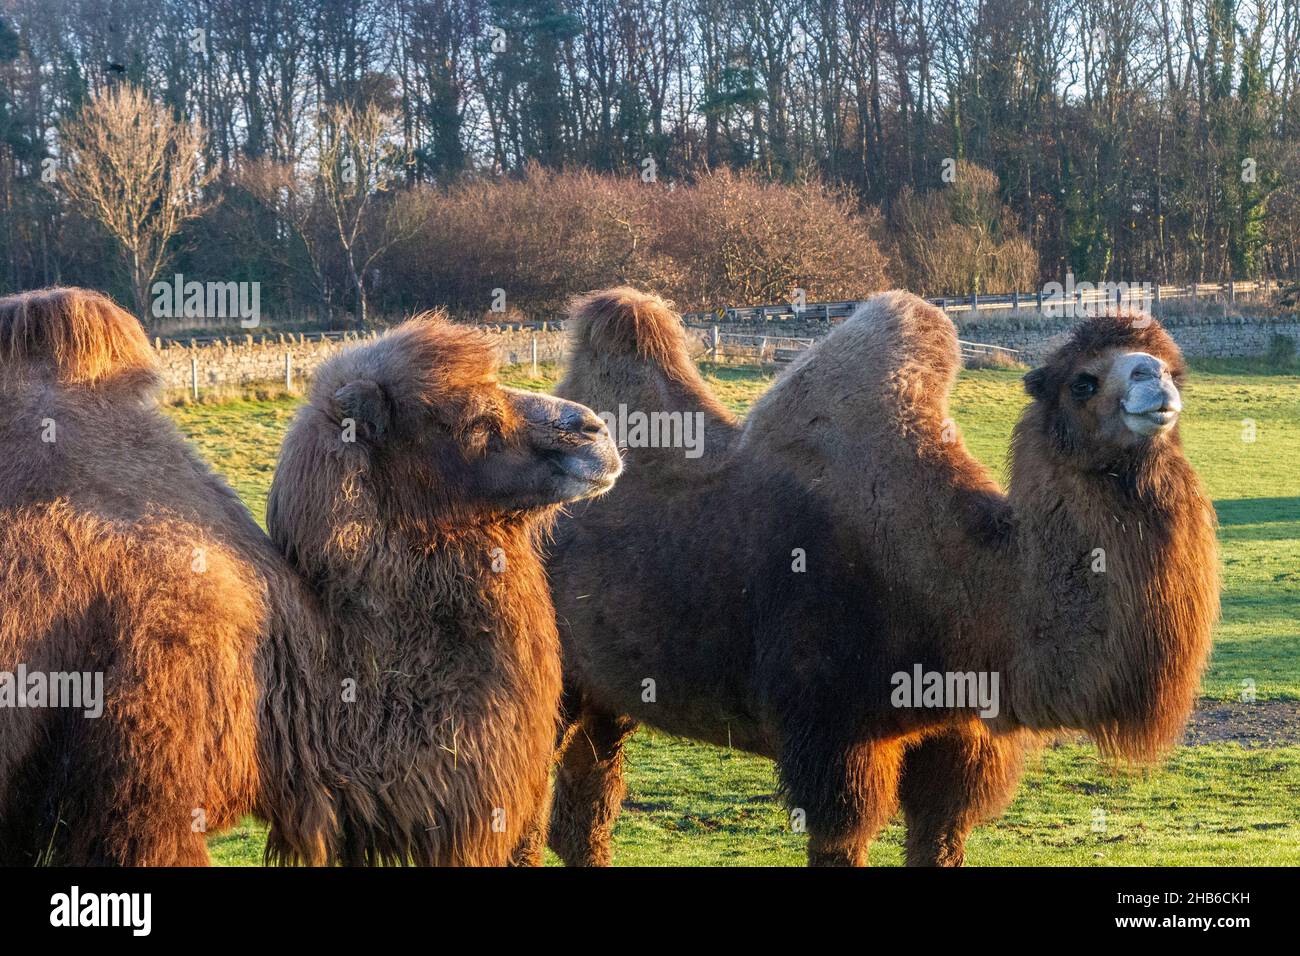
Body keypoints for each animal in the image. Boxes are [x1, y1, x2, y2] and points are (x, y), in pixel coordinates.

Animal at [542, 286, 1219, 866]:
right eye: (1083, 380)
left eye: (1171, 366)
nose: (1153, 380)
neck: (970, 591)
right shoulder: (834, 730)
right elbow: (840, 838)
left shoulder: (959, 738)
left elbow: (940, 837)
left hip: (606, 692)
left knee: (585, 812)